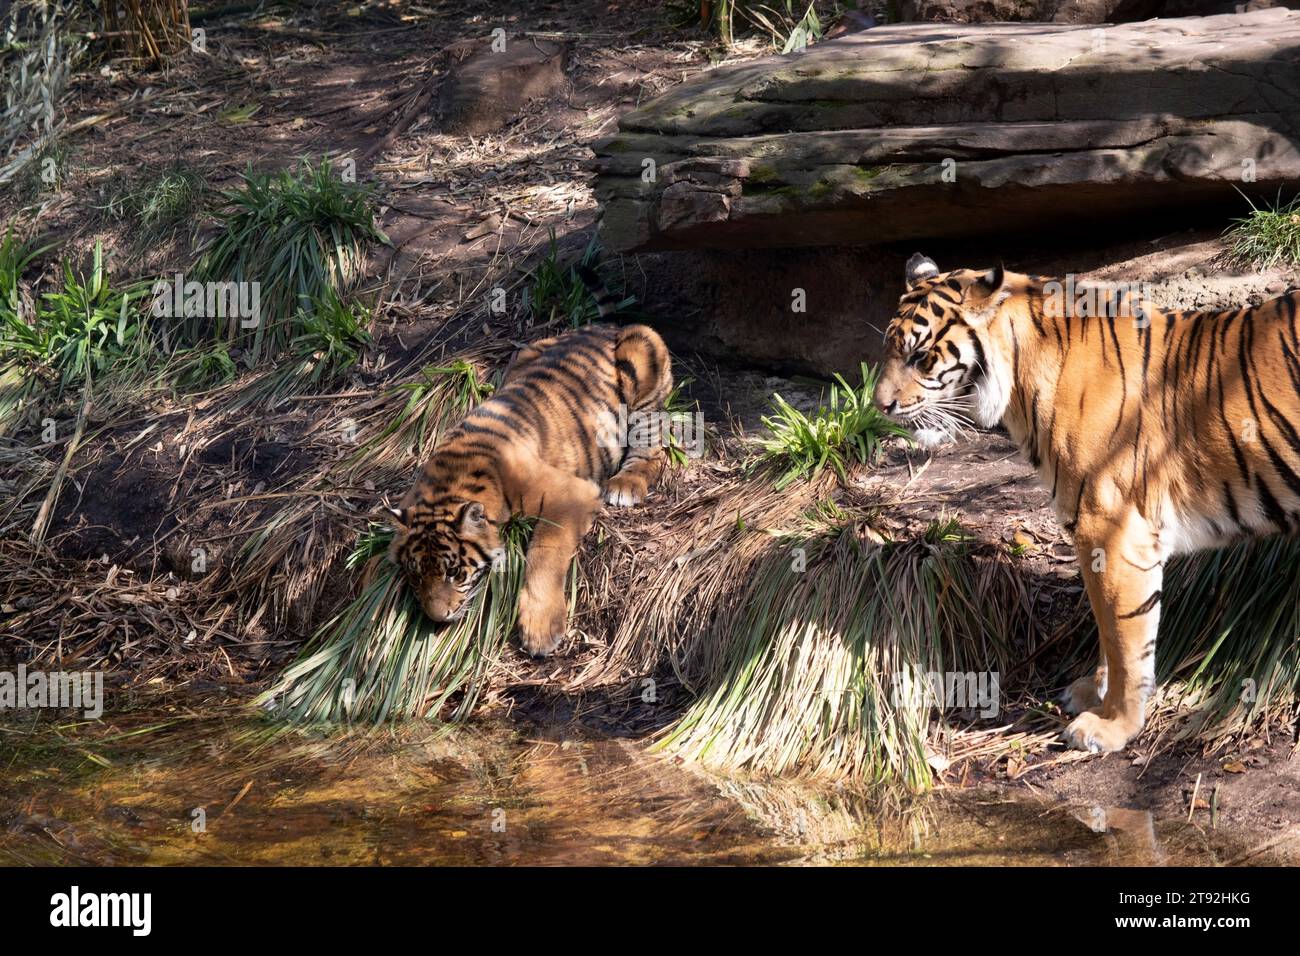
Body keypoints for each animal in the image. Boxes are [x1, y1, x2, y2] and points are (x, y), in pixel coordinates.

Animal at [387, 304, 672, 658]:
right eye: (415, 576)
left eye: (453, 572)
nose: (437, 618)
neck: (450, 478)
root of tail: (607, 325)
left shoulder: (570, 494)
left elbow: (545, 553)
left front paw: (540, 628)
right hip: (526, 353)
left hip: (641, 352)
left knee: (653, 446)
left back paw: (625, 485)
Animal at [874, 252, 1300, 753]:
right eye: (889, 350)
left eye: (920, 357)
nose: (878, 405)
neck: (1019, 381)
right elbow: (1107, 623)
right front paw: (1093, 692)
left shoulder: (1113, 529)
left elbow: (1125, 637)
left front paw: (1113, 725)